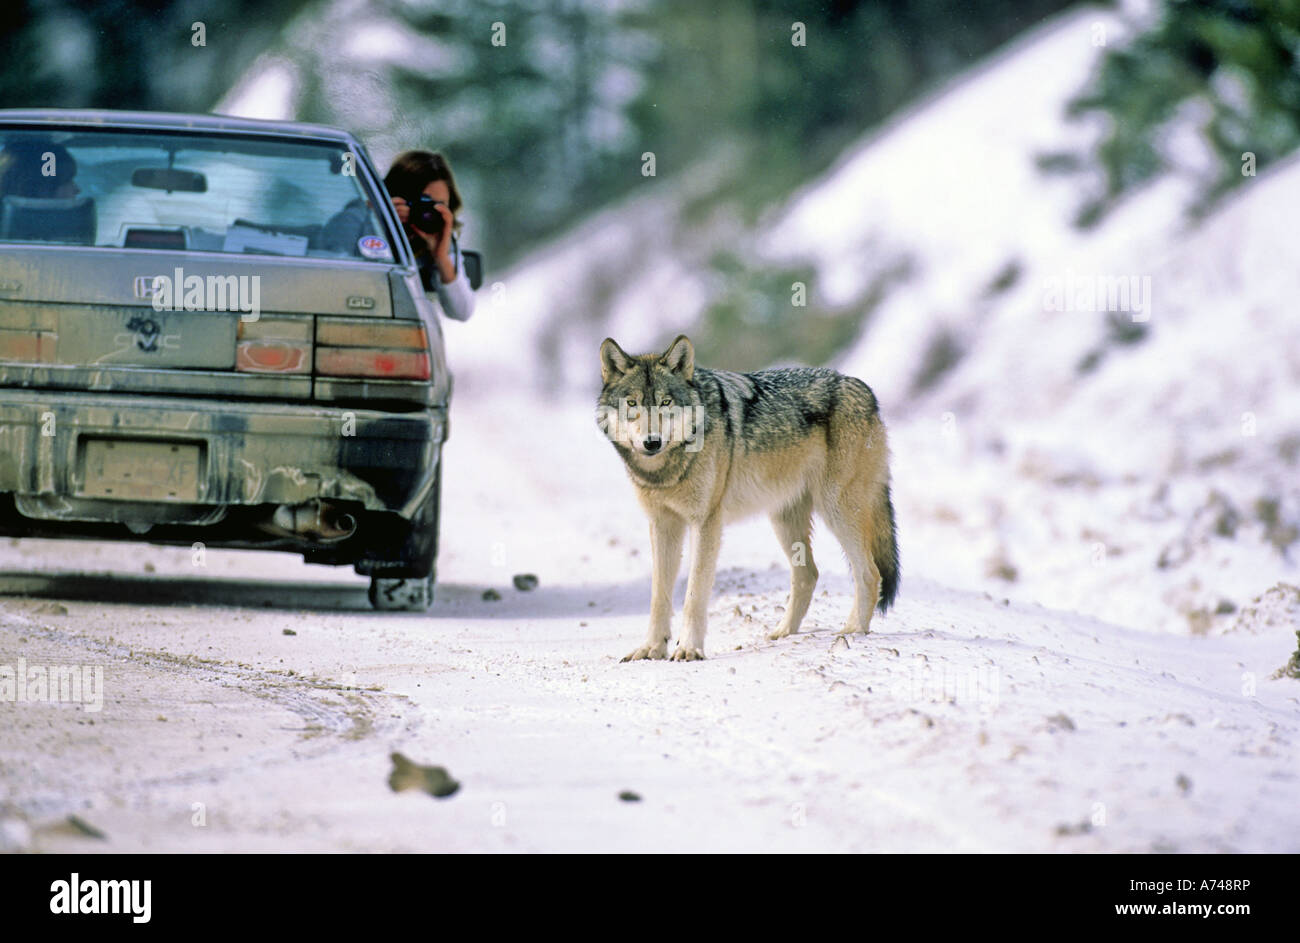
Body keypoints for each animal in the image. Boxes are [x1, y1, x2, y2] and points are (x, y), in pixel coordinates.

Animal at [597, 335, 899, 661]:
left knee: (869, 572)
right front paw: (652, 648)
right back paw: (783, 633)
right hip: (784, 519)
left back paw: (853, 631)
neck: (666, 470)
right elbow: (659, 596)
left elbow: (694, 594)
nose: (652, 442)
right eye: (632, 403)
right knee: (808, 574)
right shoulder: (663, 524)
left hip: (836, 509)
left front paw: (689, 648)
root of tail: (863, 388)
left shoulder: (706, 523)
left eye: (666, 403)